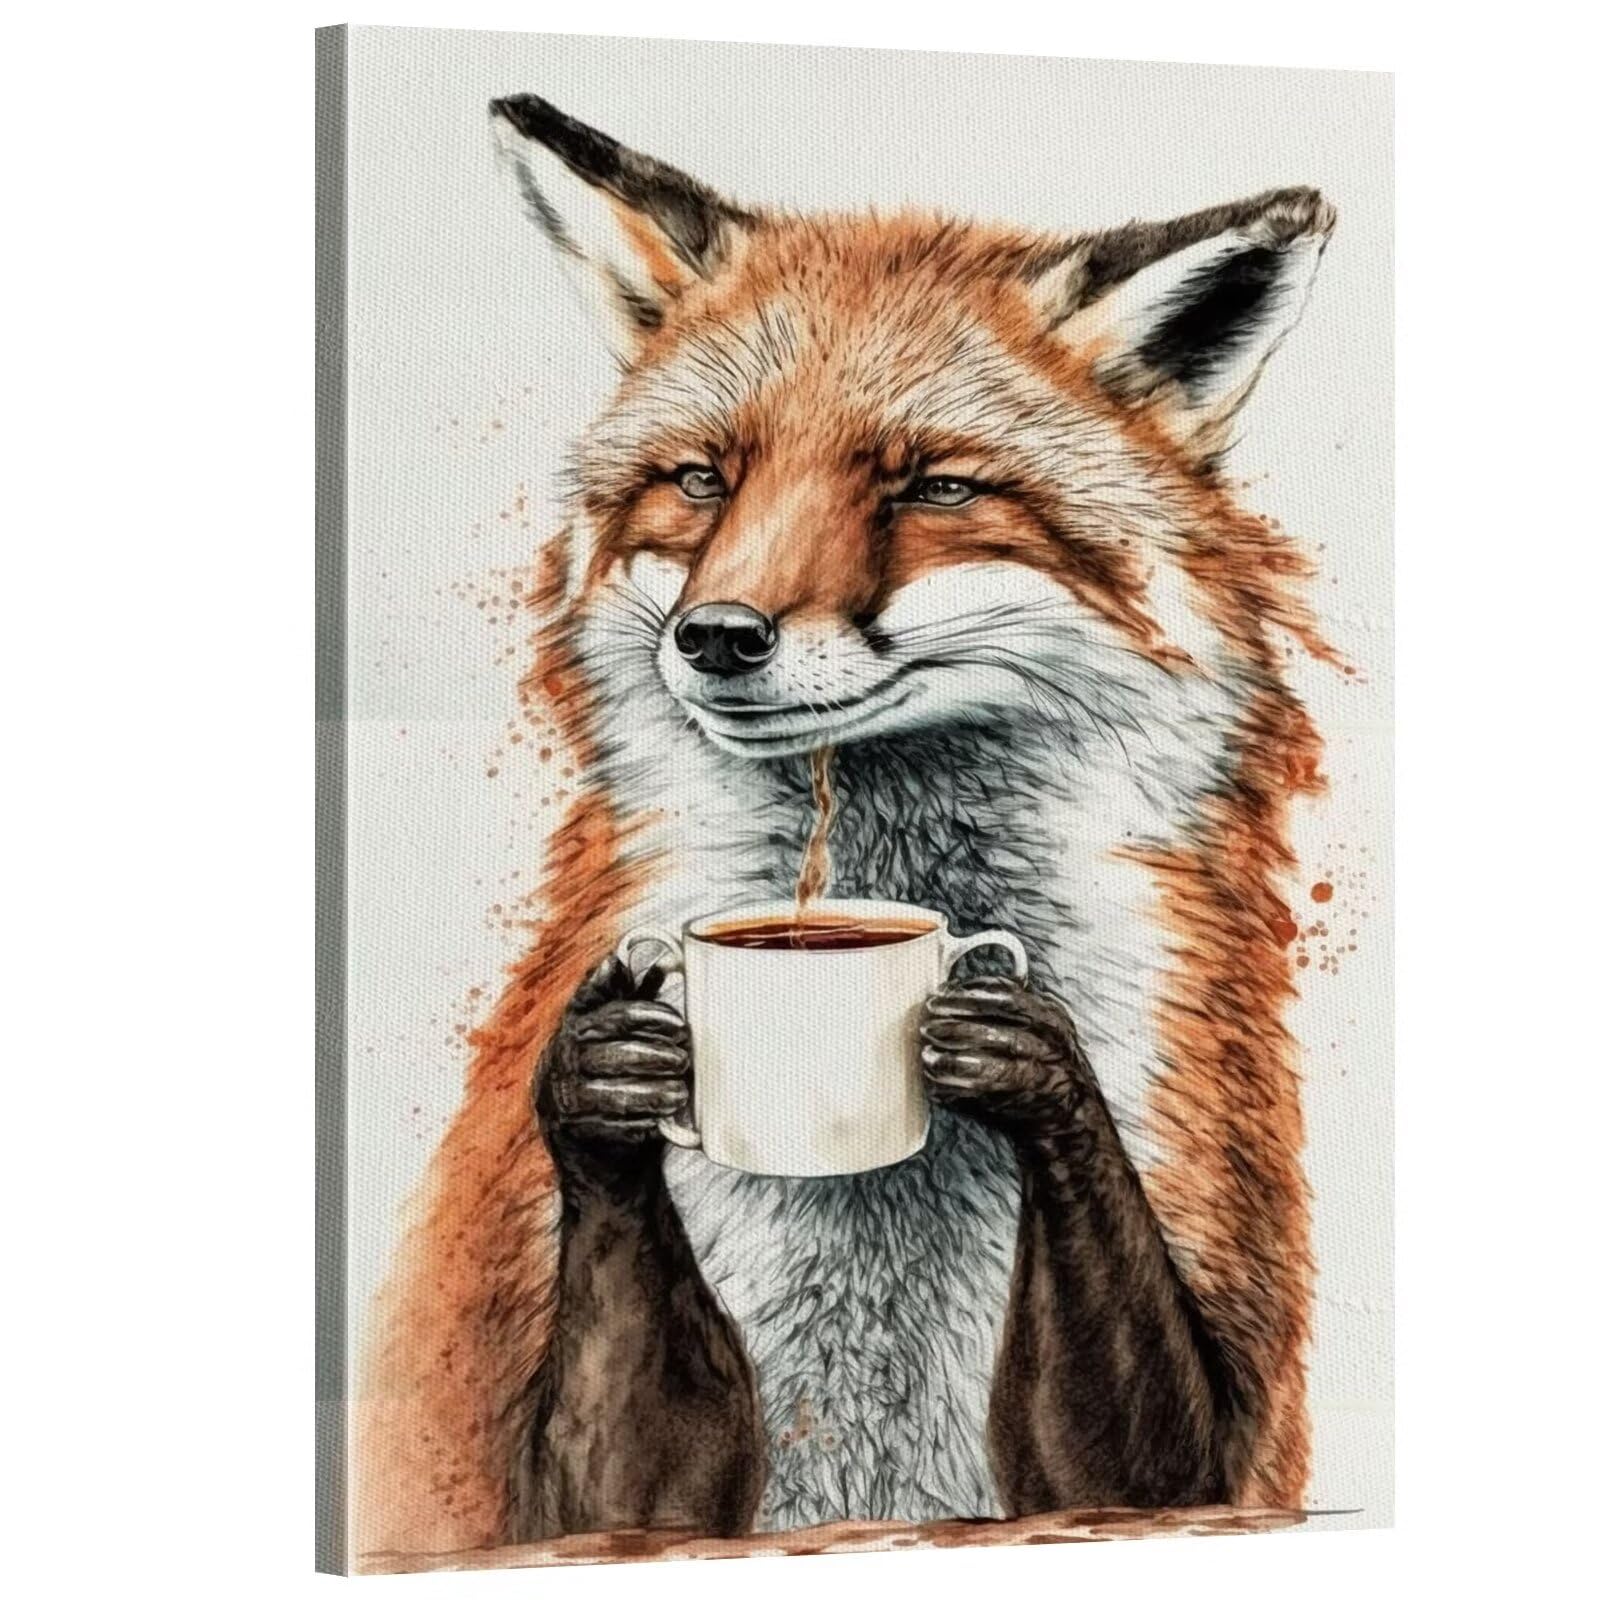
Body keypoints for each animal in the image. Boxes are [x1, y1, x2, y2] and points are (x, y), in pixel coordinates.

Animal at [357, 93, 1338, 1558]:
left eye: (933, 488)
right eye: (703, 479)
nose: (716, 636)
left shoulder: (1195, 1451)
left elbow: (1141, 1459)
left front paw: (1028, 1063)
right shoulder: (567, 1489)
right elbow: (620, 1486)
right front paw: (599, 1085)